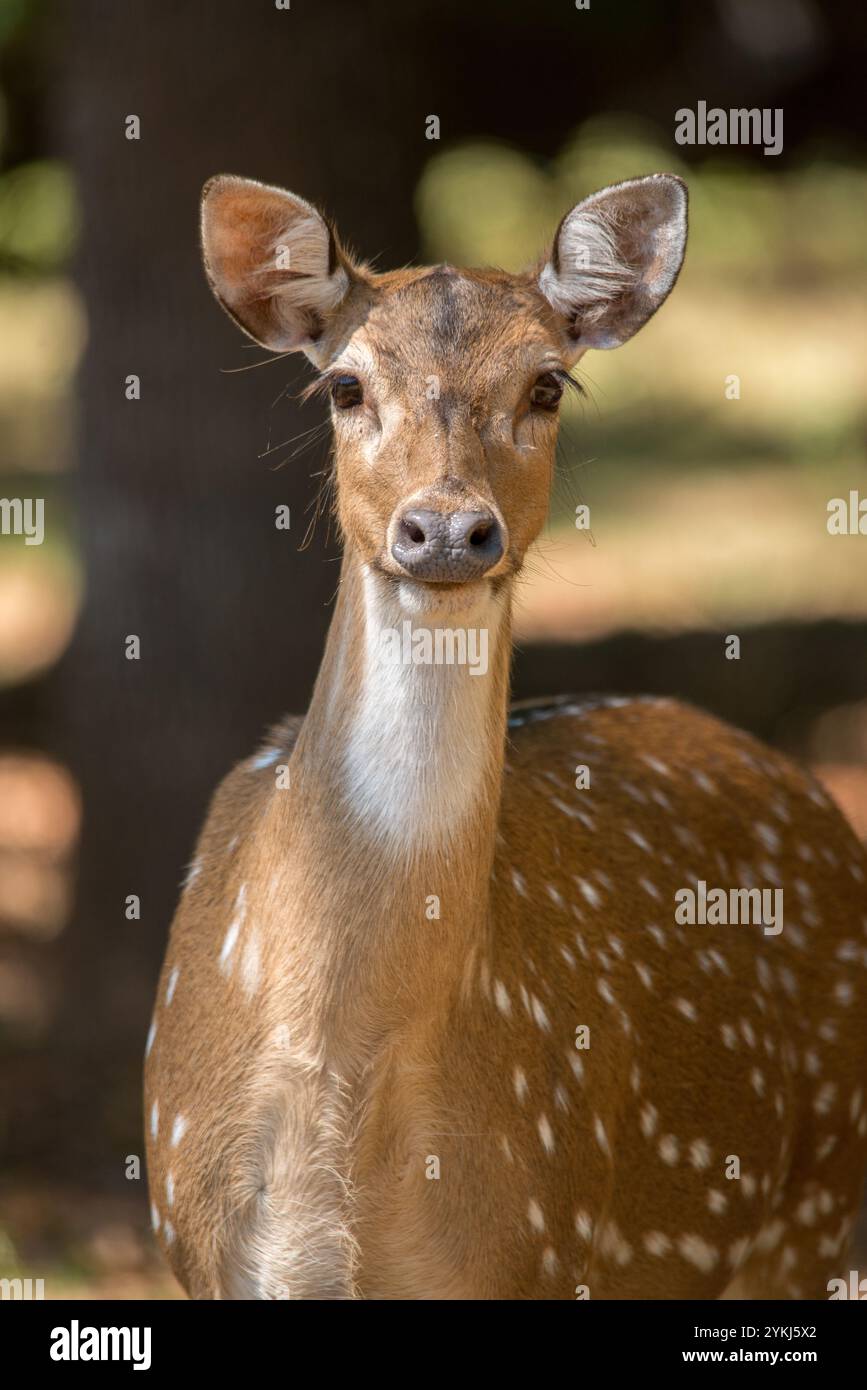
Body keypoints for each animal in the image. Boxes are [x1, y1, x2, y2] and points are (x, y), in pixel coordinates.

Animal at [144, 170, 867, 1300]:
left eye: (547, 385)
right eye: (344, 385)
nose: (446, 527)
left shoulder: (537, 1242)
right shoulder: (197, 1240)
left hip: (812, 1206)